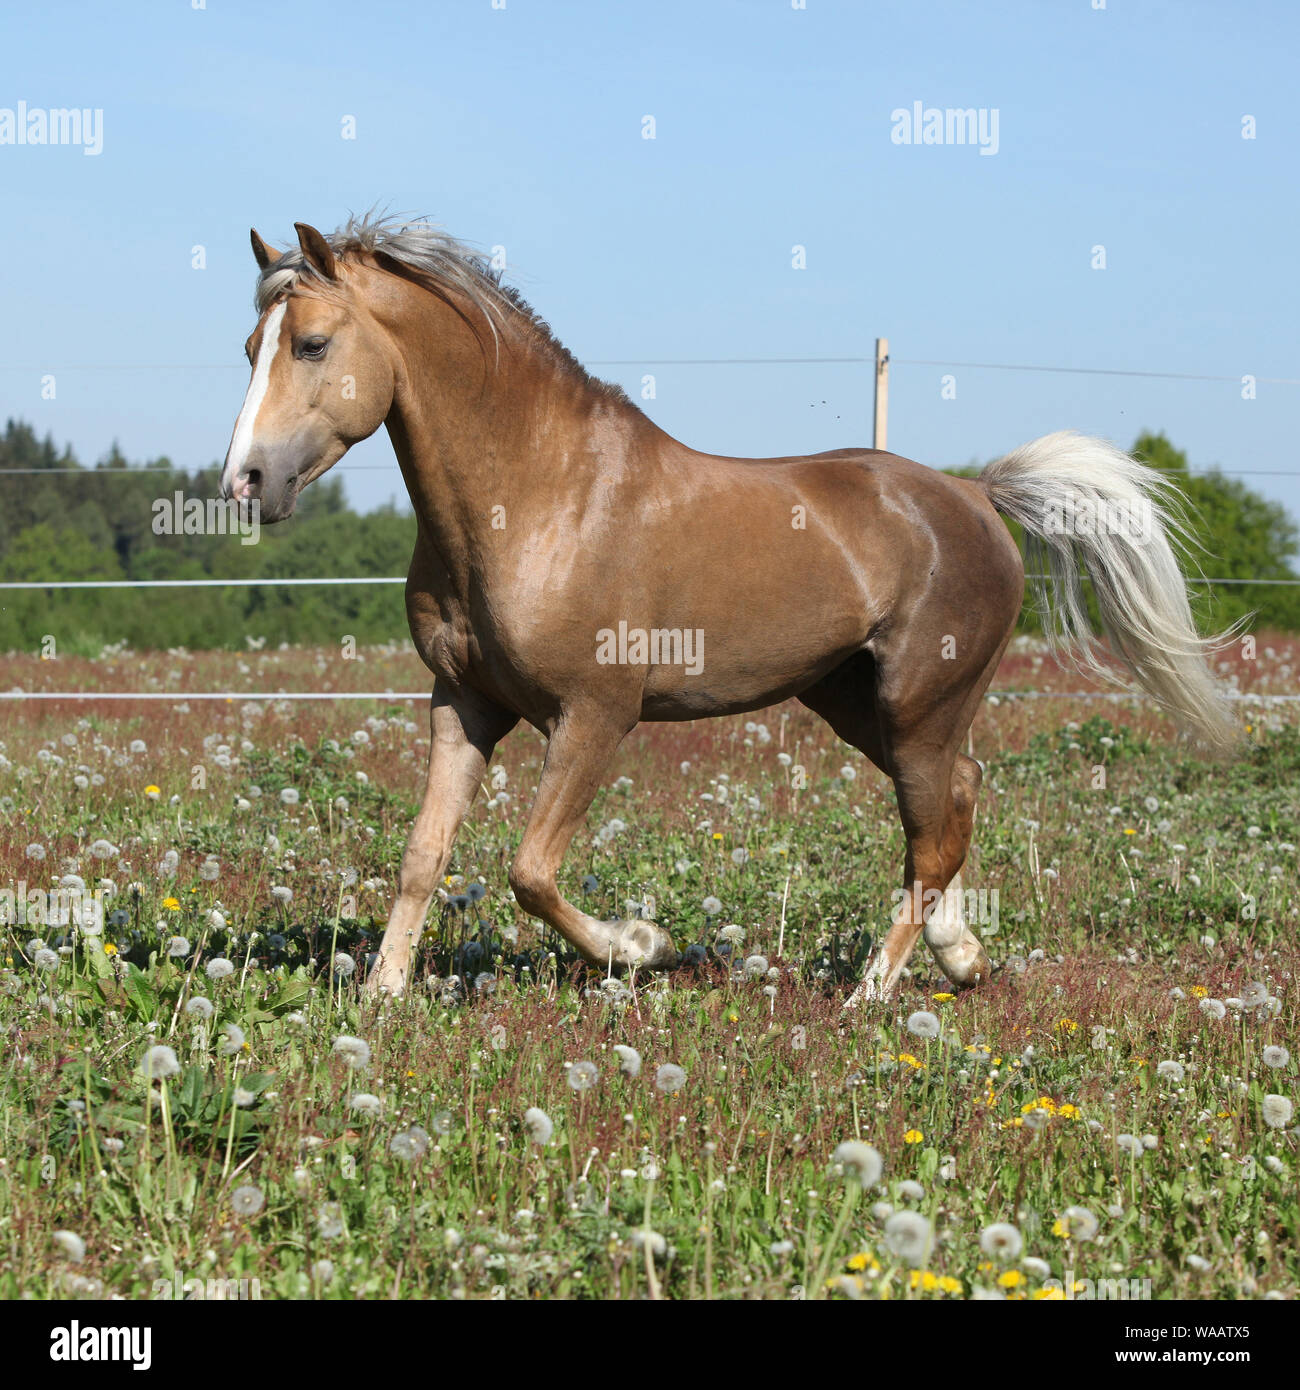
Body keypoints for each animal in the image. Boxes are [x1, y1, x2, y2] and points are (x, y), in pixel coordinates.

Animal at [219, 215, 1235, 1007]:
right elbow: (424, 852)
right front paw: (384, 995)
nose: (245, 482)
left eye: (313, 344)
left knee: (931, 832)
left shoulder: (595, 716)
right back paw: (963, 959)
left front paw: (645, 946)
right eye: (251, 349)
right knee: (957, 801)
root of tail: (977, 497)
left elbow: (530, 872)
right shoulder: (463, 703)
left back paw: (872, 991)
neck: (536, 497)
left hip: (918, 706)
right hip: (856, 703)